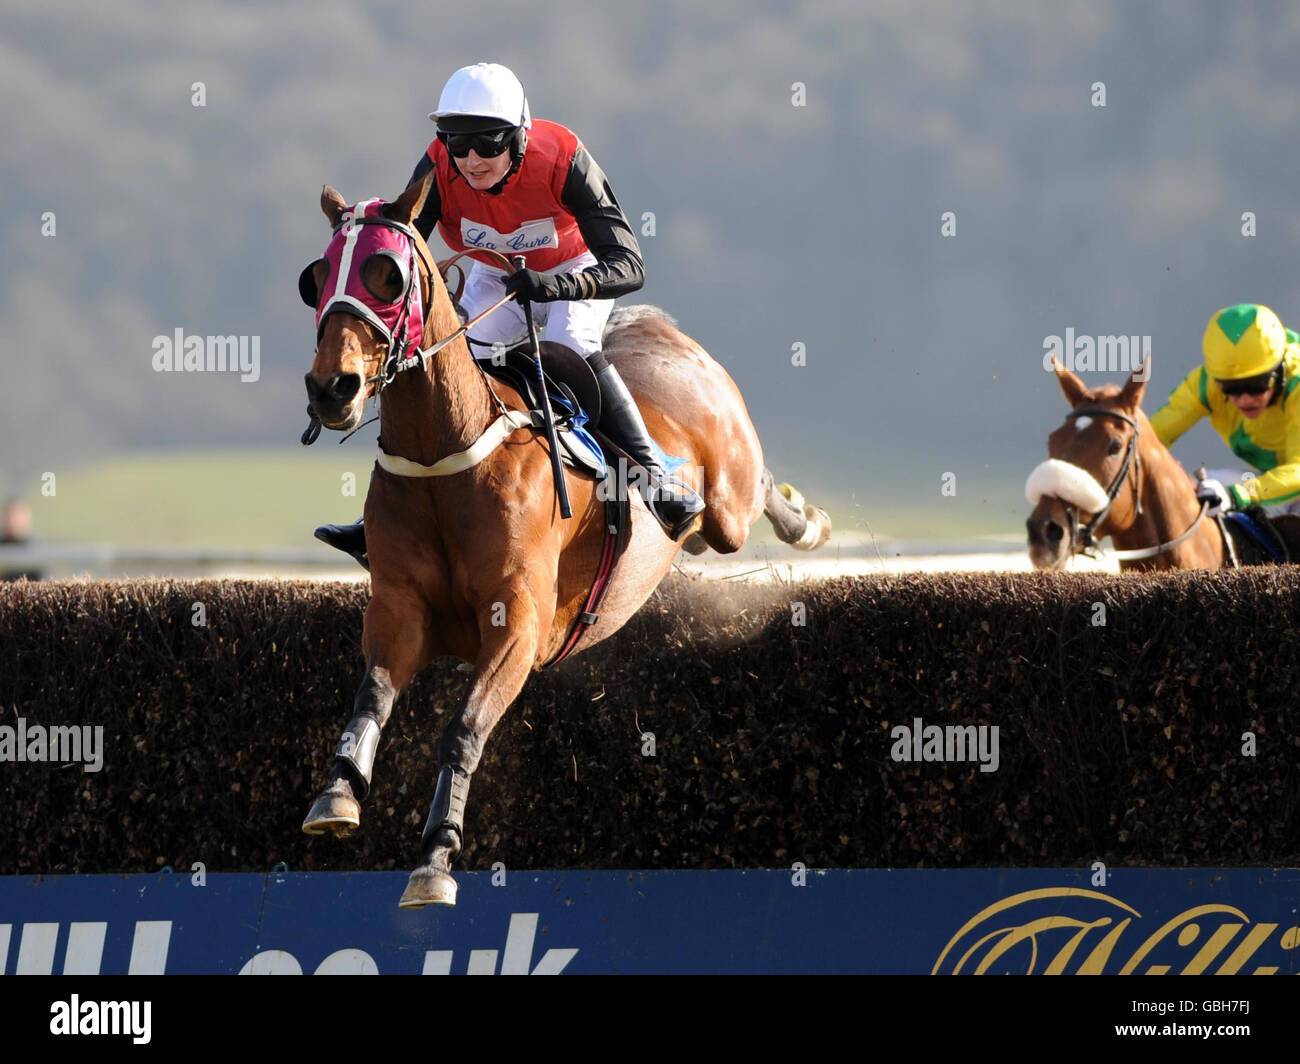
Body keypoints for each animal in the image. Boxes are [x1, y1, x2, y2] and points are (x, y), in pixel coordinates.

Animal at [298, 172, 832, 907]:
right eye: (316, 277)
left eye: (387, 274)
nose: (333, 388)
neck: (449, 455)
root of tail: (659, 330)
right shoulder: (399, 609)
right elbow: (370, 697)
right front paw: (337, 795)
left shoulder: (519, 626)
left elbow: (463, 731)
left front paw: (435, 859)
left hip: (728, 498)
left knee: (749, 496)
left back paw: (803, 521)